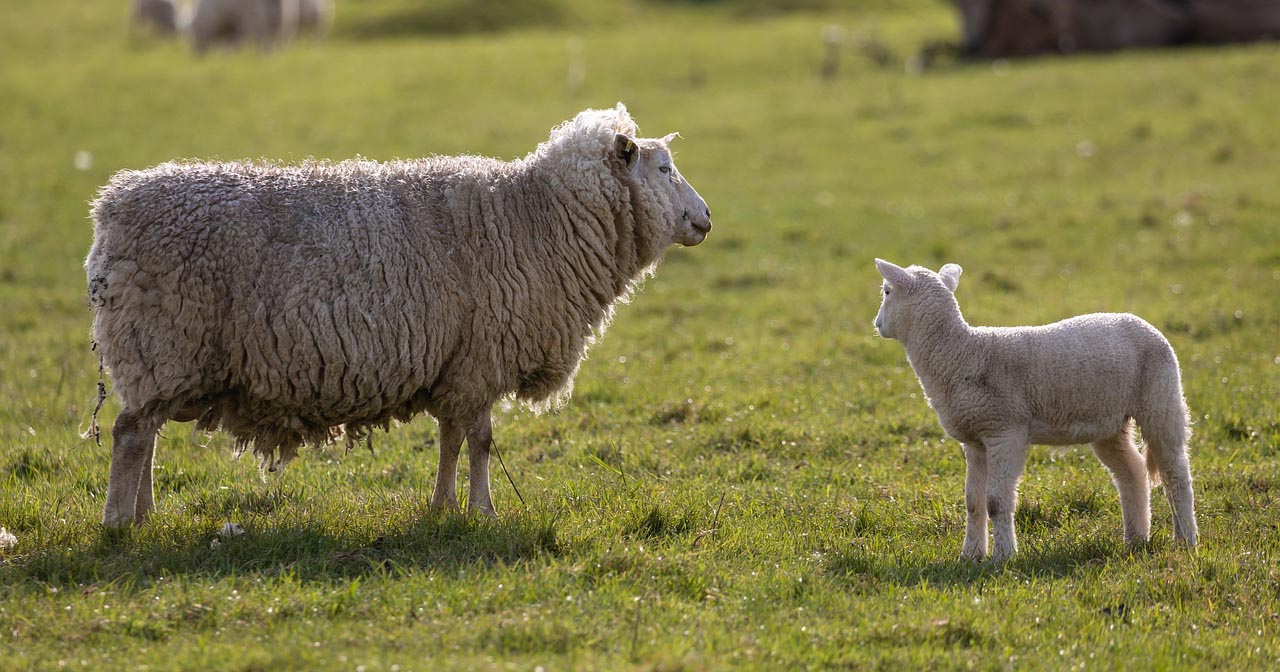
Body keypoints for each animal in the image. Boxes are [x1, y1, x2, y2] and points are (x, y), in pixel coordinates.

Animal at [86, 103, 713, 527]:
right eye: (663, 169)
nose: (706, 218)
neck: (535, 218)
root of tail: (111, 207)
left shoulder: (457, 363)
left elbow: (451, 439)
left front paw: (443, 506)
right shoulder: (481, 357)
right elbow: (481, 441)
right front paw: (484, 510)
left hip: (160, 357)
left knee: (146, 433)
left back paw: (144, 514)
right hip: (159, 342)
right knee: (129, 435)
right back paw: (119, 523)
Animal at [872, 258, 1198, 561]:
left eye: (887, 291)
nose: (877, 324)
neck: (960, 354)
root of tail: (1144, 323)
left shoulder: (1005, 431)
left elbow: (995, 501)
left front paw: (1003, 557)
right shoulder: (975, 440)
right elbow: (973, 502)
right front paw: (970, 556)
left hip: (1161, 398)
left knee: (1175, 472)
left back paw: (1186, 540)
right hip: (1109, 422)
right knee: (1131, 472)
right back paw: (1136, 538)